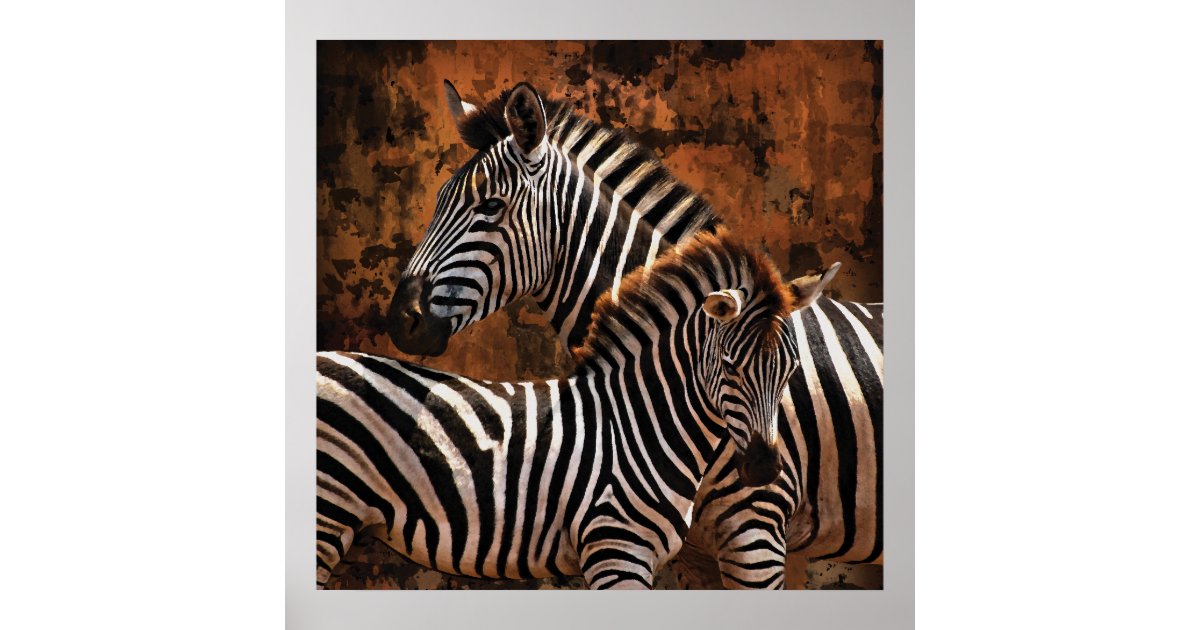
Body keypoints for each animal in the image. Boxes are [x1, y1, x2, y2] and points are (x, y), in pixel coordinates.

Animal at [317, 231, 830, 589]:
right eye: (729, 367)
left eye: (791, 368)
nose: (764, 469)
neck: (640, 423)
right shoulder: (616, 549)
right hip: (328, 514)